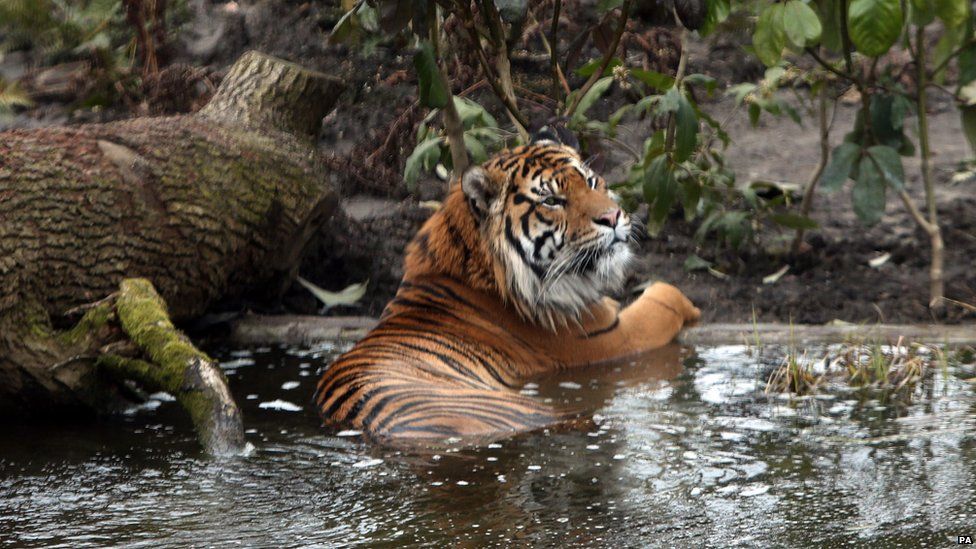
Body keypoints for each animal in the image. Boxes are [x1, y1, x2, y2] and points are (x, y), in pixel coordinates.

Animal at [314, 140, 700, 440]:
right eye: (552, 201)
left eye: (591, 182)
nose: (614, 217)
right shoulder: (615, 336)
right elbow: (666, 295)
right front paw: (691, 309)